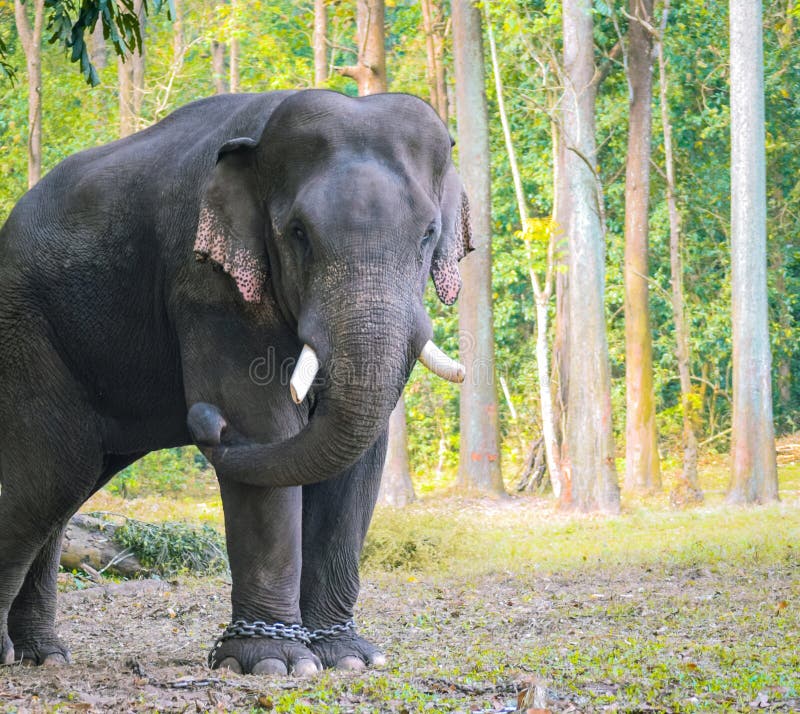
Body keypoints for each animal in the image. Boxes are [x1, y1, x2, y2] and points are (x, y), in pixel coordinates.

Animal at [0, 89, 472, 675]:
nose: (204, 419)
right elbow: (261, 423)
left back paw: (43, 655)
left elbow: (360, 459)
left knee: (68, 484)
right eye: (298, 234)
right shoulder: (207, 284)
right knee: (53, 475)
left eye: (428, 234)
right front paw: (274, 663)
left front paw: (346, 658)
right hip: (26, 326)